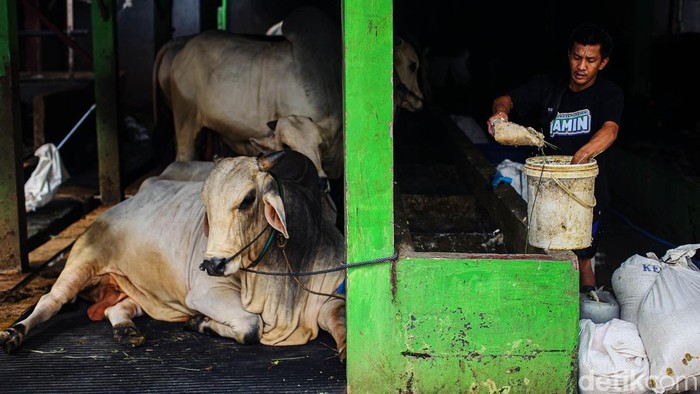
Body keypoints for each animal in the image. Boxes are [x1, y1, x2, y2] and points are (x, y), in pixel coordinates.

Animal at [2, 151, 348, 360]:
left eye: (248, 199)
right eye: (205, 206)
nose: (212, 264)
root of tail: (123, 203)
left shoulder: (331, 297)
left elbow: (341, 321)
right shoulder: (207, 293)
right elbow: (251, 326)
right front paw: (201, 323)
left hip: (140, 292)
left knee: (117, 308)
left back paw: (126, 331)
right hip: (83, 261)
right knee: (50, 301)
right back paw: (14, 333)